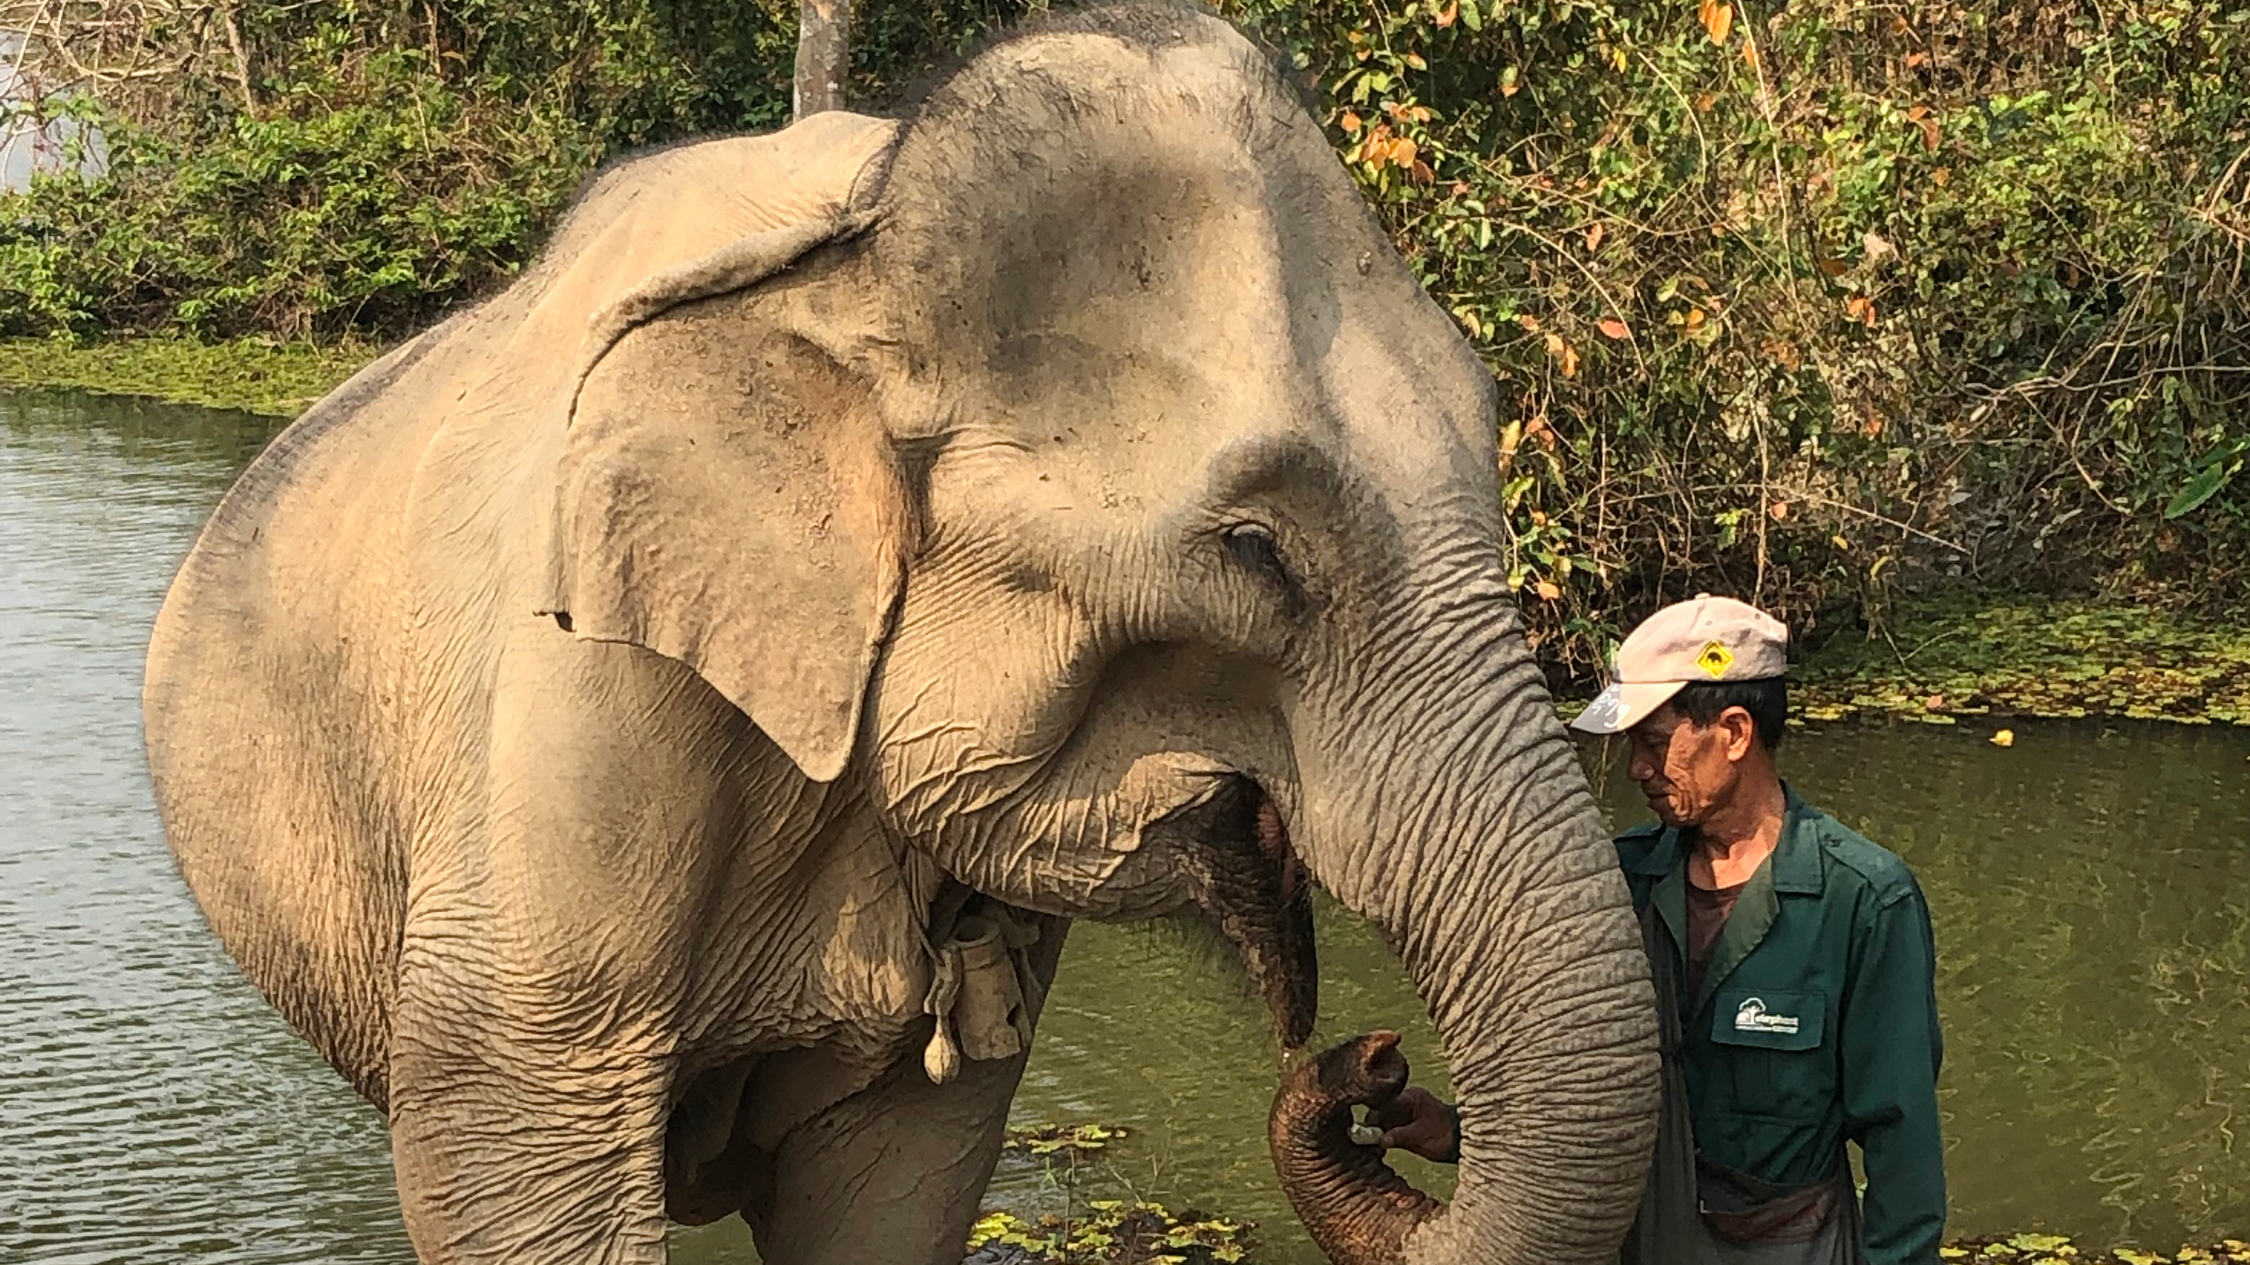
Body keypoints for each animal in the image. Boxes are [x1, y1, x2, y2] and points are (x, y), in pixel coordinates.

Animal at [140, 5, 1660, 1264]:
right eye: (1255, 550)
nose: (1380, 1069)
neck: (852, 257)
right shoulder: (574, 692)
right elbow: (517, 1149)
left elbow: (902, 1167)